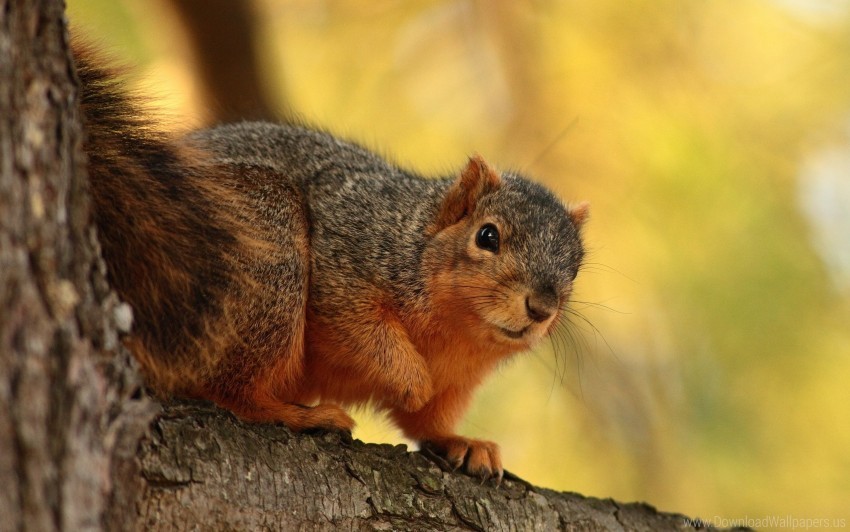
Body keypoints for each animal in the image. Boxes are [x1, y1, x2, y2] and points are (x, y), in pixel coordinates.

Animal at [75, 47, 588, 482]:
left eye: (576, 266)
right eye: (487, 236)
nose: (542, 307)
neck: (455, 332)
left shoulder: (459, 382)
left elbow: (427, 421)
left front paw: (460, 441)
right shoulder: (345, 263)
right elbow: (362, 330)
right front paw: (412, 381)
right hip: (263, 243)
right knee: (232, 389)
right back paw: (298, 414)